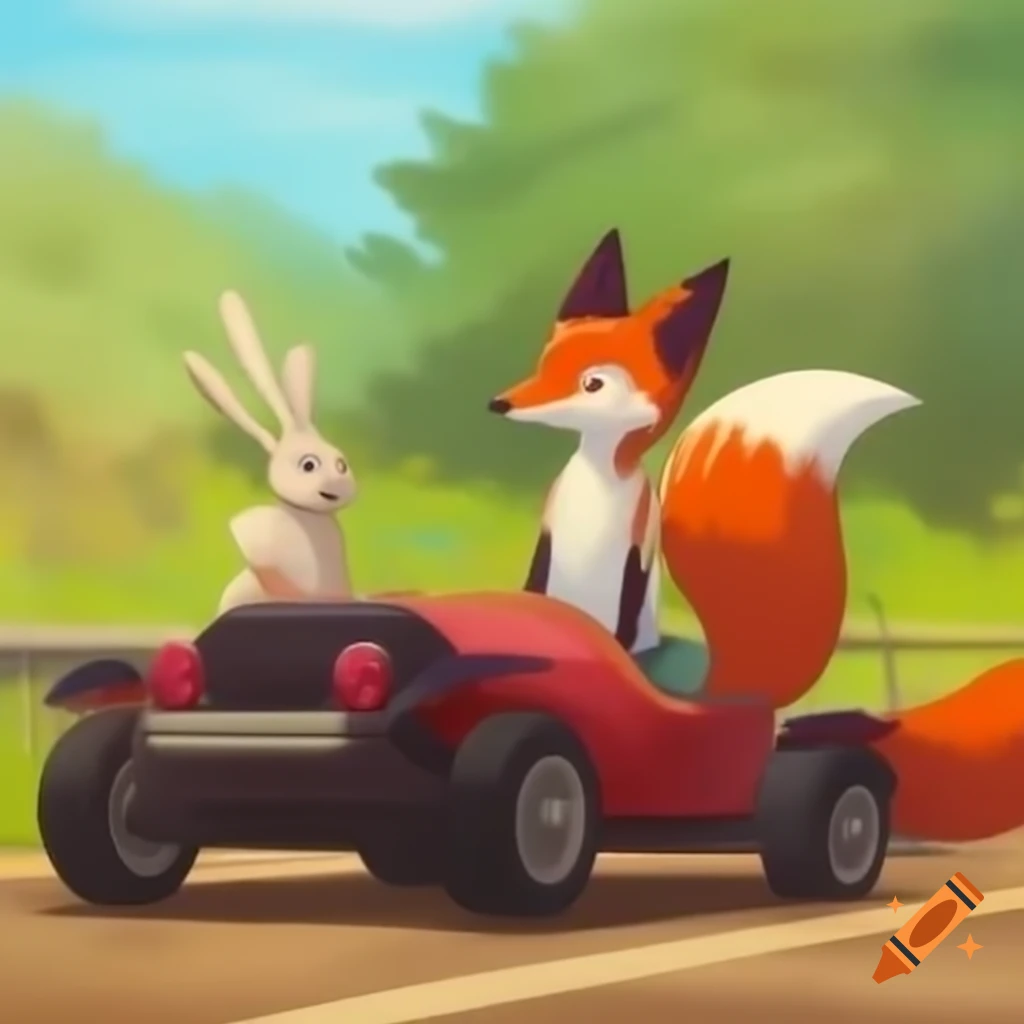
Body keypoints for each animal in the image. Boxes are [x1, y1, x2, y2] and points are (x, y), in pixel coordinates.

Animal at [489, 228, 1024, 844]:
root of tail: (733, 683)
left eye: (591, 383)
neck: (598, 481)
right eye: (542, 362)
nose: (499, 403)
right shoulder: (547, 548)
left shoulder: (631, 561)